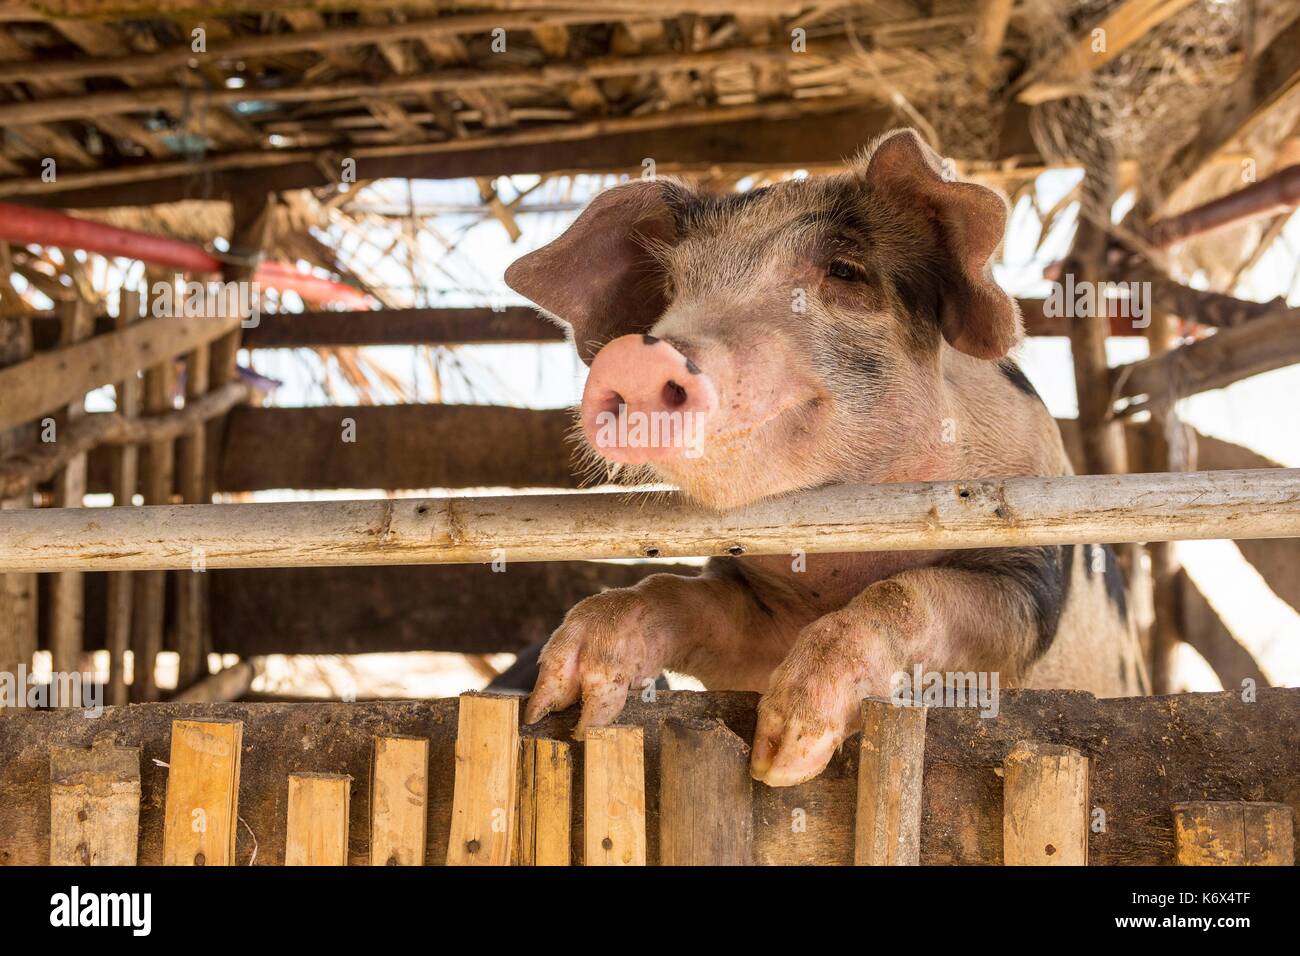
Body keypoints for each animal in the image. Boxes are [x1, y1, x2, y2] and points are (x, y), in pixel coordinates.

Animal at [503, 128, 1147, 787]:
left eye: (846, 271)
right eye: (678, 289)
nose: (636, 354)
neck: (837, 565)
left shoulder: (1029, 584)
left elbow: (910, 593)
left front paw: (784, 757)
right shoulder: (755, 610)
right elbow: (675, 593)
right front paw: (558, 698)